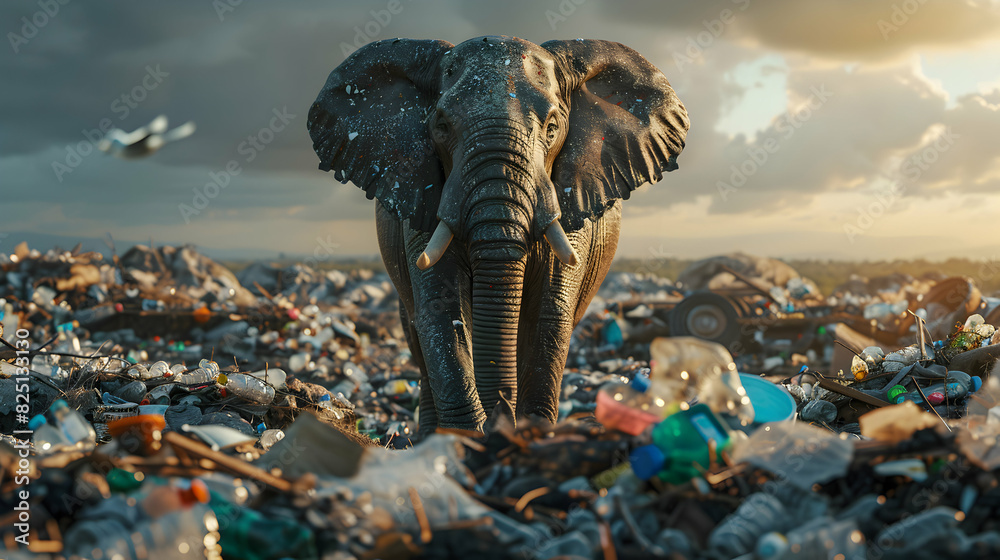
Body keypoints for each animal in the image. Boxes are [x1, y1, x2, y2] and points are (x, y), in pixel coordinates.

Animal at [307, 35, 689, 435]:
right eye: (441, 126)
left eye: (552, 127)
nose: (500, 411)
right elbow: (442, 310)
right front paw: (466, 437)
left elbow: (549, 313)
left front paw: (529, 432)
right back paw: (426, 437)